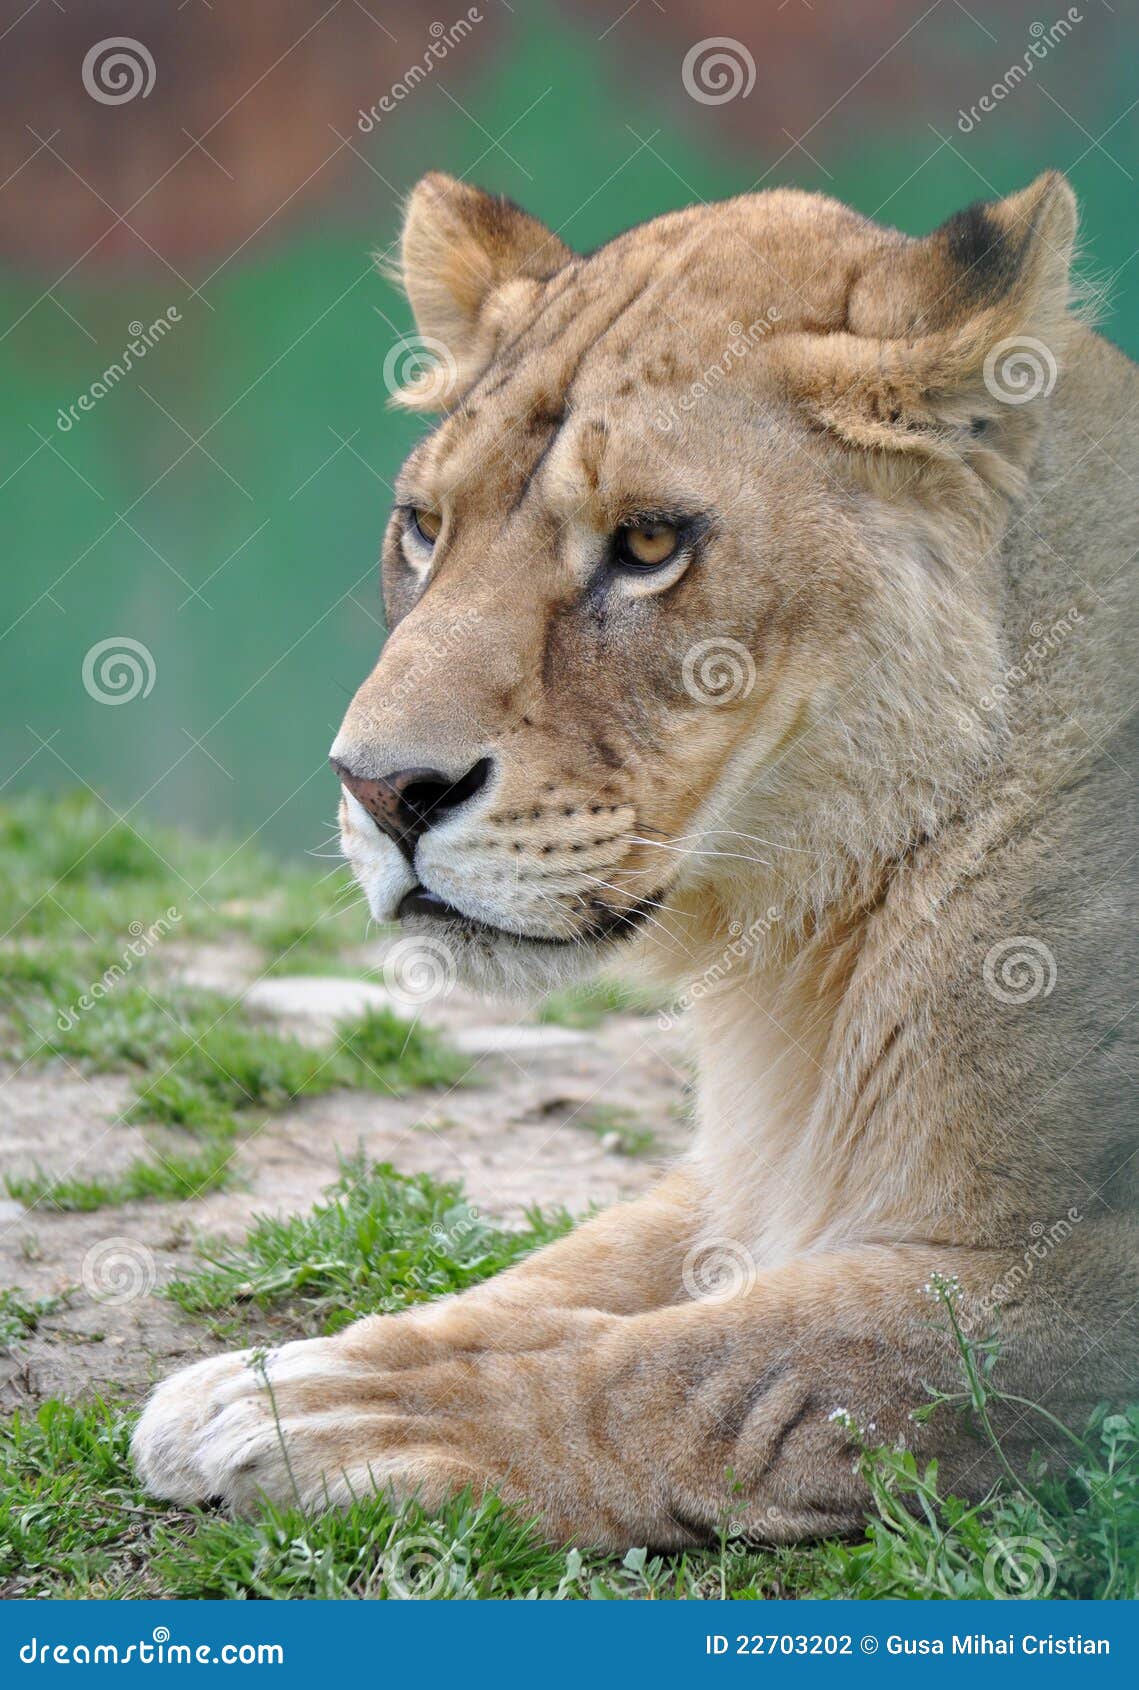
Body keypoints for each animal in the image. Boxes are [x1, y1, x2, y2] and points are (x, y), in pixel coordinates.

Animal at [133, 170, 1139, 1548]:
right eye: (422, 528)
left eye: (650, 545)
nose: (381, 789)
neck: (814, 949)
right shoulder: (739, 1168)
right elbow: (570, 1267)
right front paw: (290, 1369)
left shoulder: (1073, 1273)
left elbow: (739, 1354)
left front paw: (346, 1418)